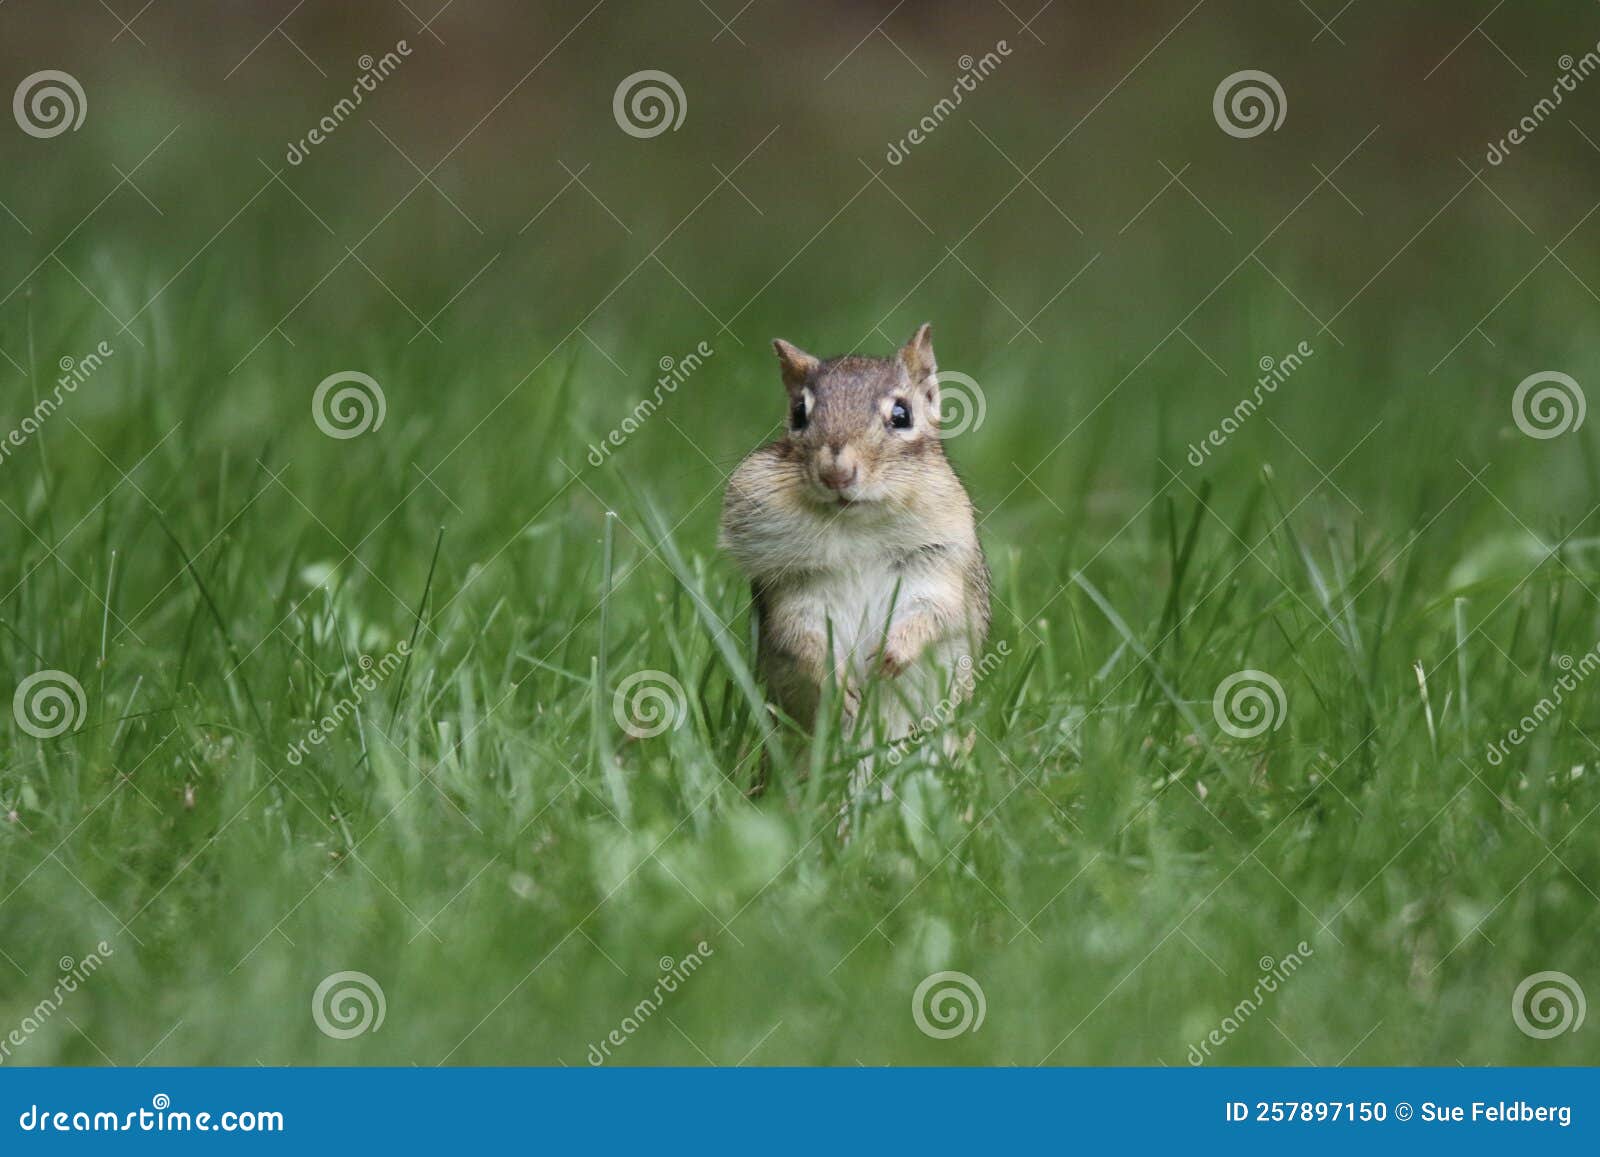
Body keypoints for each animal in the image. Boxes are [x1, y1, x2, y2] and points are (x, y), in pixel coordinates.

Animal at [719, 323, 991, 751]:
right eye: (798, 413)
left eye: (902, 414)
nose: (836, 473)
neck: (856, 528)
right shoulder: (794, 593)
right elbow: (800, 636)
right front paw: (838, 684)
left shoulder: (940, 568)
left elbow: (934, 614)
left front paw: (889, 656)